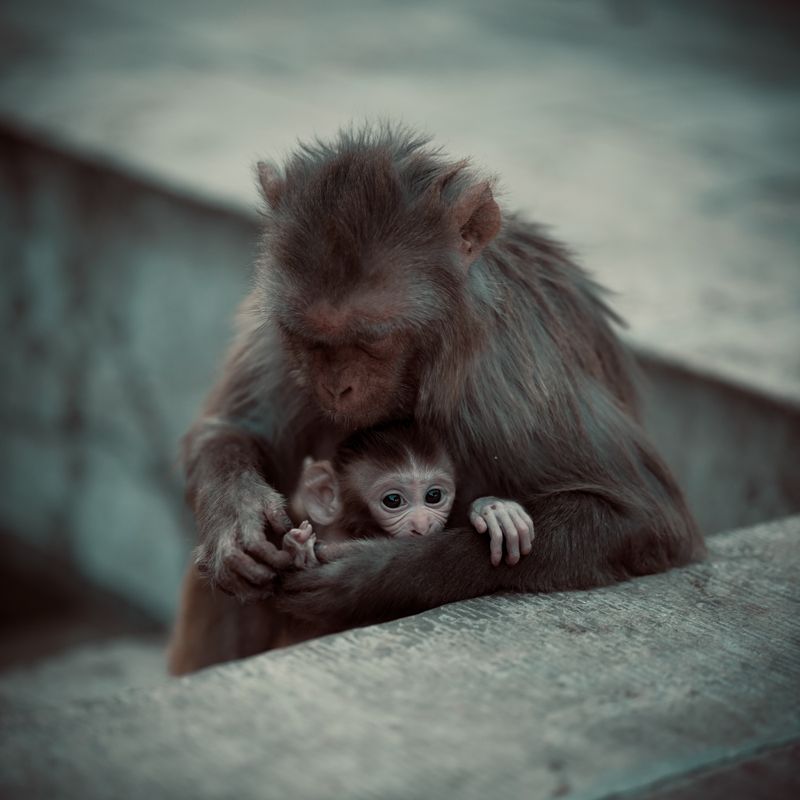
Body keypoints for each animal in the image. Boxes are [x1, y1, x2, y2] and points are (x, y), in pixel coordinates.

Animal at [170, 123, 704, 670]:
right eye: (311, 340)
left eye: (374, 339)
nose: (336, 387)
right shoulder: (278, 333)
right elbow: (233, 430)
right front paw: (238, 521)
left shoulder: (503, 364)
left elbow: (644, 518)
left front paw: (366, 576)